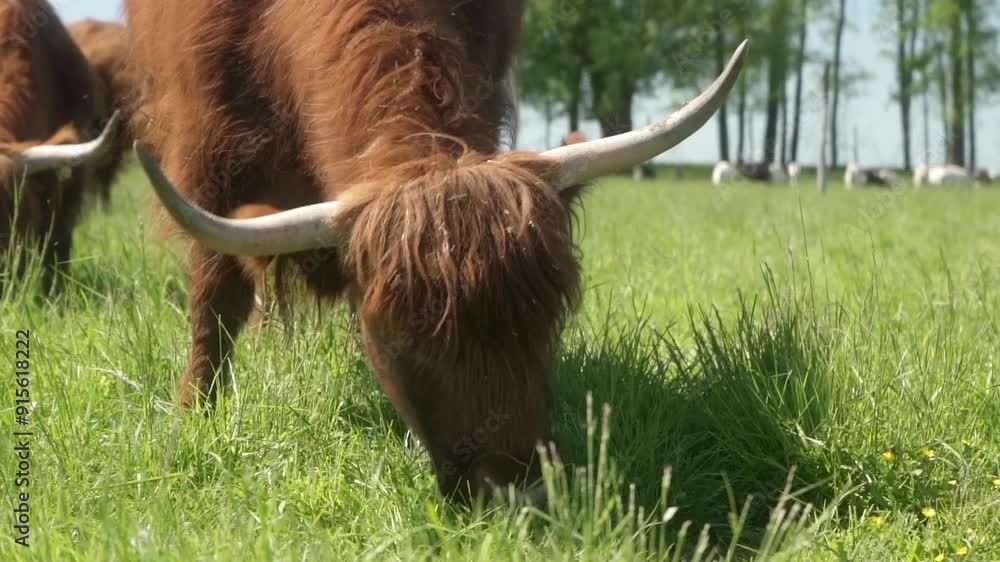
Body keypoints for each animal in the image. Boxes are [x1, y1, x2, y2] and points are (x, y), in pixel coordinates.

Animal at [126, 0, 748, 506]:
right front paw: (194, 416)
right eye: (395, 338)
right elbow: (214, 302)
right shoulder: (210, 152)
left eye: (550, 314)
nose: (518, 494)